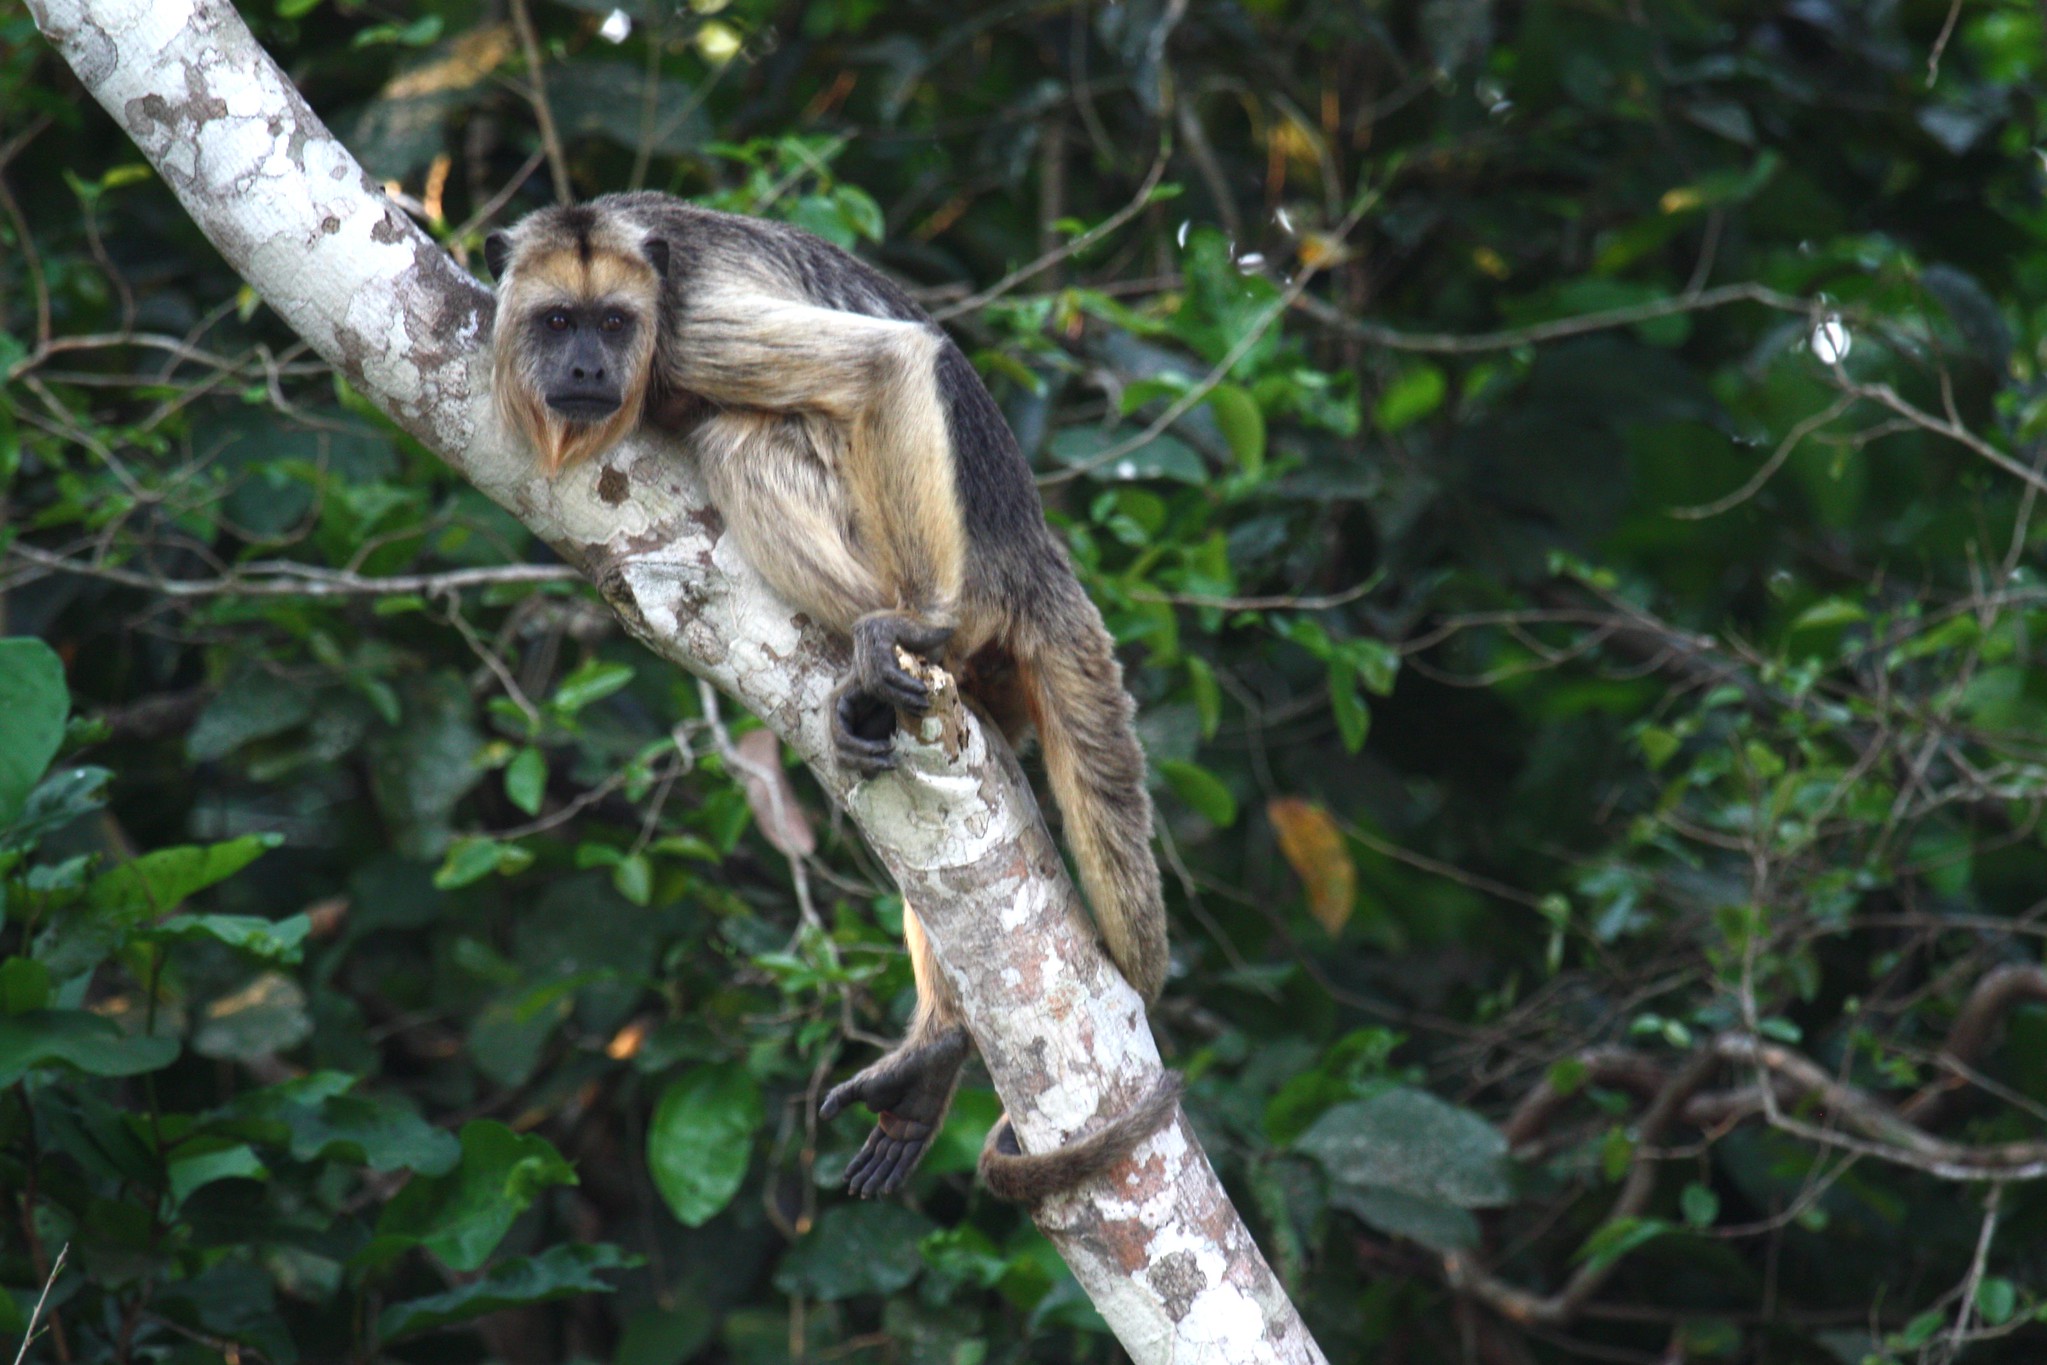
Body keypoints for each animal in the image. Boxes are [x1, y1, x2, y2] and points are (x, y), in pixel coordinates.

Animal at [484, 193, 1175, 1199]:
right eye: (555, 322)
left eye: (612, 324)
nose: (585, 368)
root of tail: (1031, 553)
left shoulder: (692, 328)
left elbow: (887, 364)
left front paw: (913, 628)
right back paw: (938, 1048)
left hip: (945, 570)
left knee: (745, 438)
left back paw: (888, 657)